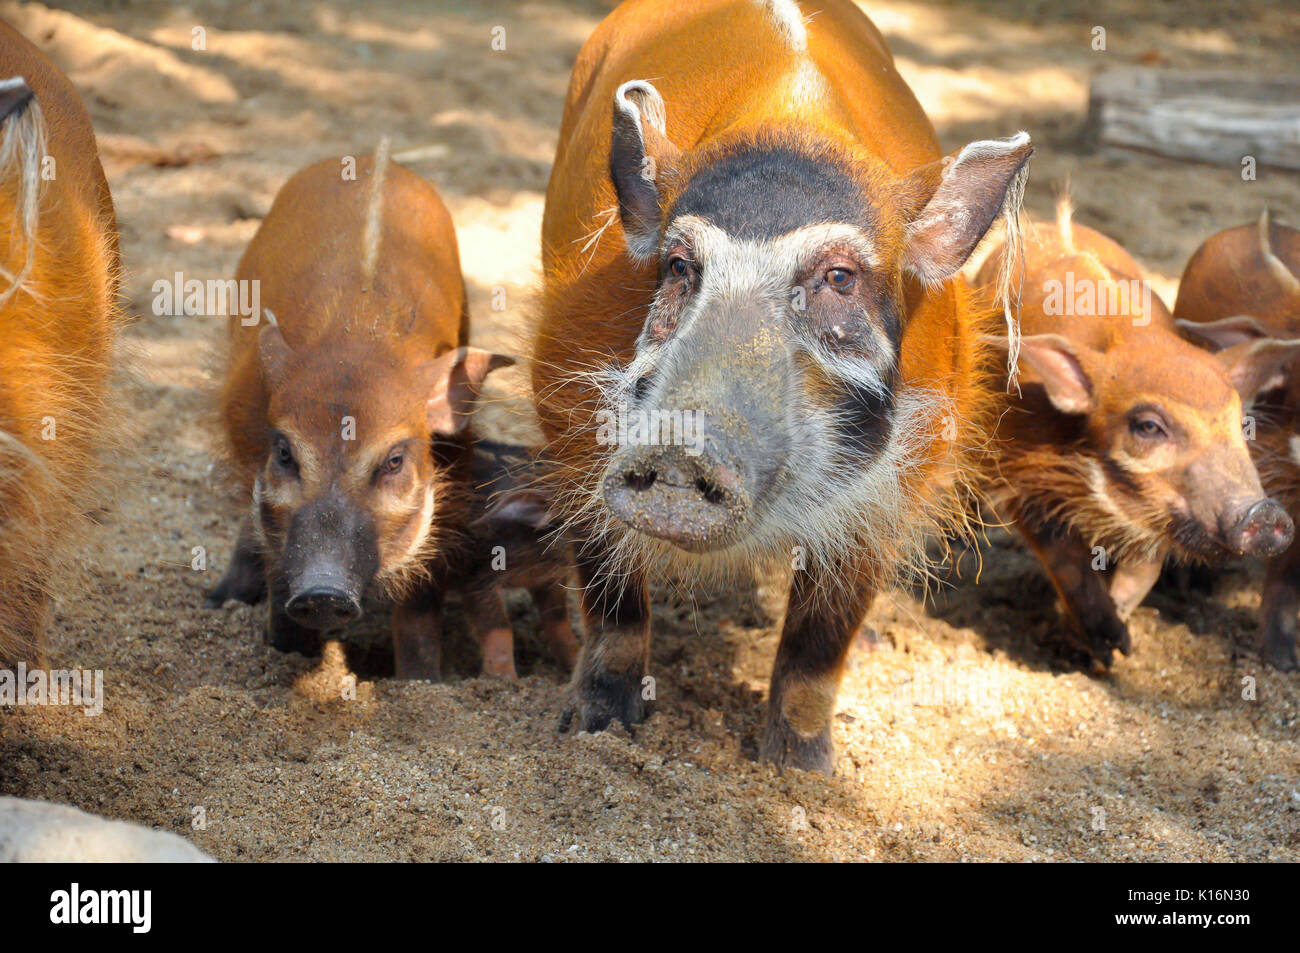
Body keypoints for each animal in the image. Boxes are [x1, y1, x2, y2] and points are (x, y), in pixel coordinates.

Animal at [207, 142, 514, 677]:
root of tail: (375, 153)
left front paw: (420, 680)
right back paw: (221, 599)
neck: (356, 339)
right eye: (284, 453)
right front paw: (289, 650)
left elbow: (418, 606)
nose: (323, 591)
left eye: (393, 460)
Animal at [529, 0, 1033, 772]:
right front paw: (596, 729)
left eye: (839, 278)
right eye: (679, 266)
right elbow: (610, 593)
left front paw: (803, 771)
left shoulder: (902, 483)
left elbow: (821, 640)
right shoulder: (568, 413)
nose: (681, 450)